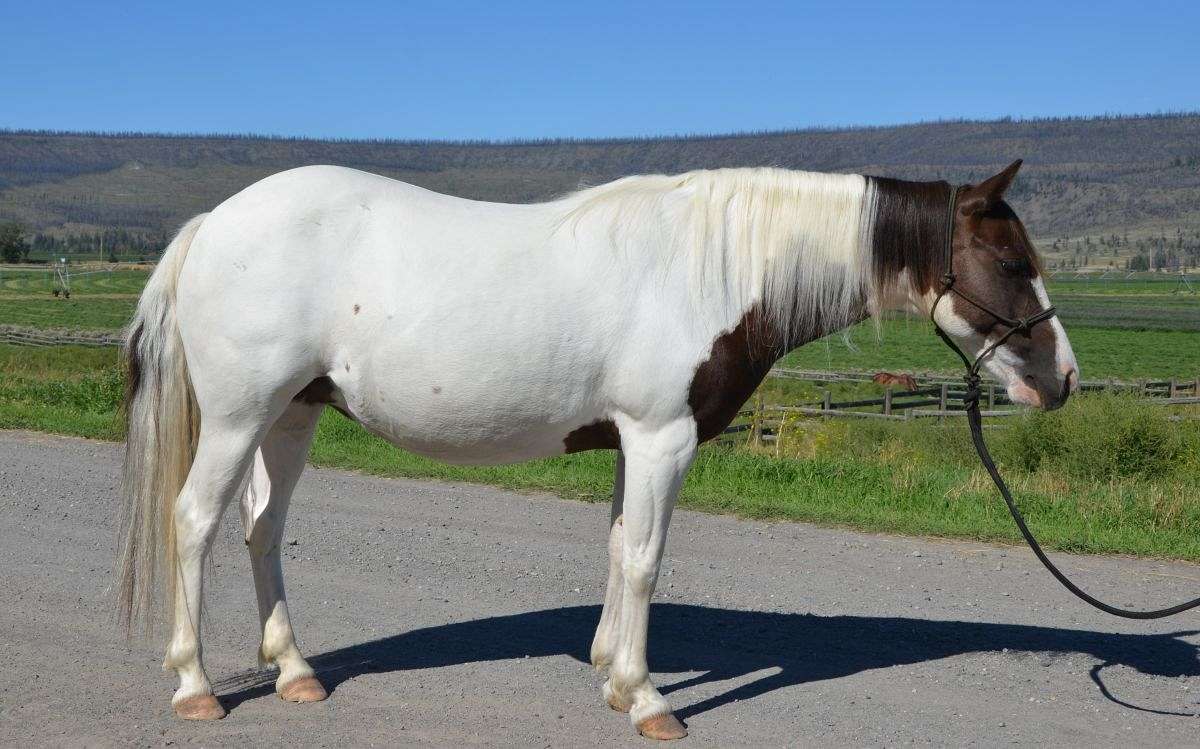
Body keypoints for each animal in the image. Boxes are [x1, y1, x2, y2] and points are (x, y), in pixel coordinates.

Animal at [117, 159, 1077, 740]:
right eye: (1010, 260)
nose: (1061, 377)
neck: (714, 267)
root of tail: (212, 223)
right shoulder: (662, 438)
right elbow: (647, 558)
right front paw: (649, 699)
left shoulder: (631, 441)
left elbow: (619, 548)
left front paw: (613, 674)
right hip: (239, 417)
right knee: (196, 521)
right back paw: (195, 686)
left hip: (292, 416)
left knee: (263, 529)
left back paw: (295, 672)